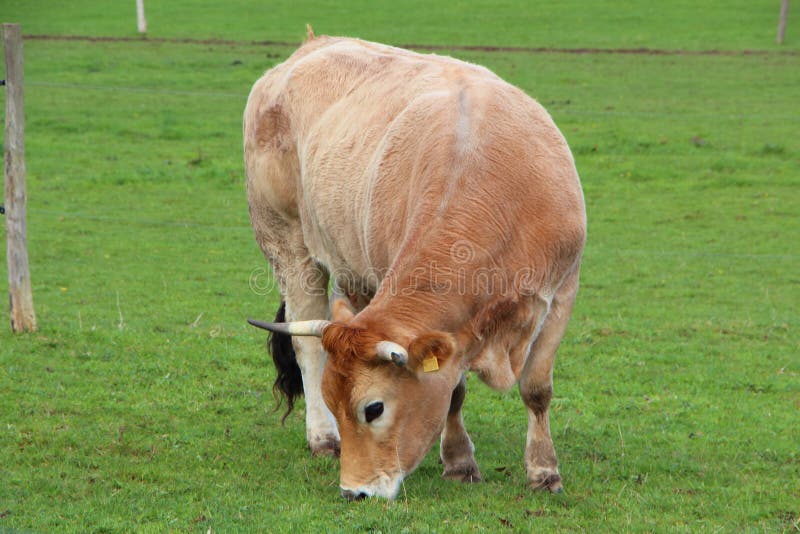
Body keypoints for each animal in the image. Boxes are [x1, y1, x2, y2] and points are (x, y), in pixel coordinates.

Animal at [244, 27, 586, 500]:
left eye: (373, 408)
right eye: (336, 402)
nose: (354, 492)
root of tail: (311, 46)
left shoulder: (561, 294)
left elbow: (537, 389)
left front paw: (543, 471)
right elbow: (453, 391)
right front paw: (459, 461)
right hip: (288, 246)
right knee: (307, 346)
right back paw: (322, 437)